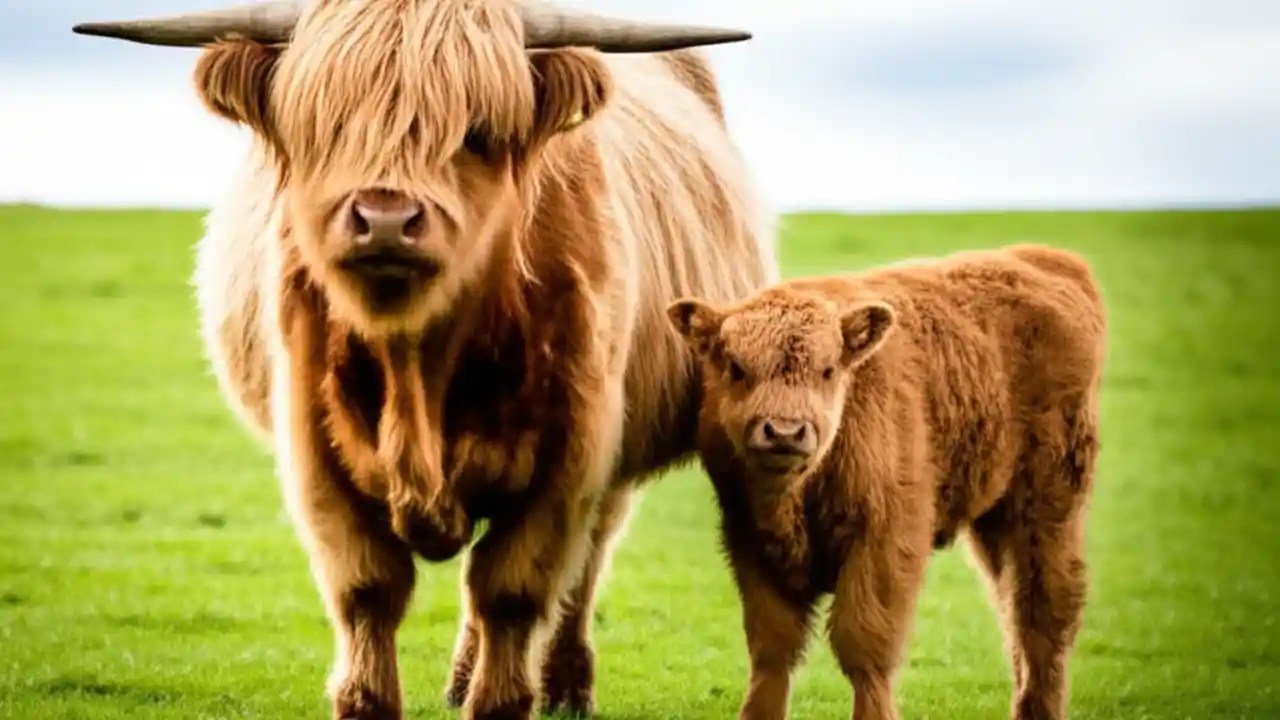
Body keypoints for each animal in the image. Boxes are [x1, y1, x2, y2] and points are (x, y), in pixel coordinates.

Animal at [72, 1, 778, 718]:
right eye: (327, 125)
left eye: (476, 132)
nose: (385, 219)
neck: (418, 363)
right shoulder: (312, 449)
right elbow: (366, 587)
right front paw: (367, 700)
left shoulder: (574, 453)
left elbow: (513, 587)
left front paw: (501, 700)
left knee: (585, 561)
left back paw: (565, 686)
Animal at [666, 244, 1106, 720]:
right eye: (736, 367)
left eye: (827, 370)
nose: (785, 431)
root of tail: (1047, 259)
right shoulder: (750, 543)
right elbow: (772, 649)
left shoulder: (885, 540)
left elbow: (864, 646)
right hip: (997, 517)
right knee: (1013, 605)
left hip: (1048, 507)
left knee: (1044, 613)